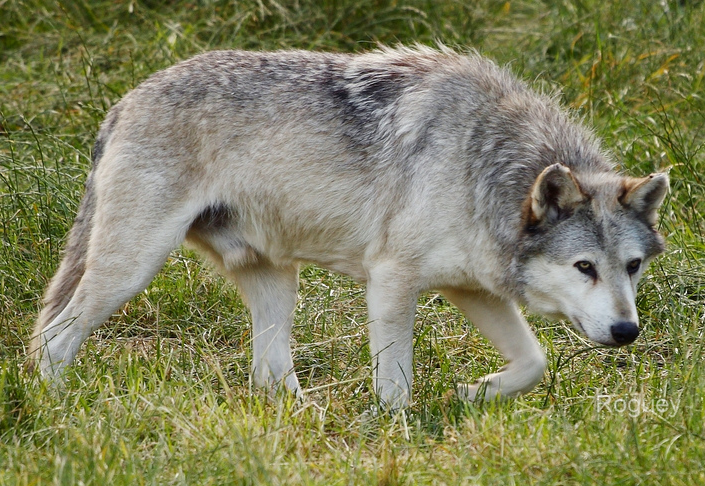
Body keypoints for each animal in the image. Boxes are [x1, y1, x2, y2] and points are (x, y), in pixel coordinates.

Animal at [28, 46, 668, 408]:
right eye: (584, 267)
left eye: (632, 267)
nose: (627, 332)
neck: (481, 162)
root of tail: (123, 103)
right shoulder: (391, 282)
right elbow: (396, 387)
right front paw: (400, 434)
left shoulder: (472, 289)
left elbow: (533, 363)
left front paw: (475, 393)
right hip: (131, 272)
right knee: (53, 339)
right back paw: (61, 411)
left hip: (276, 282)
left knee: (269, 375)